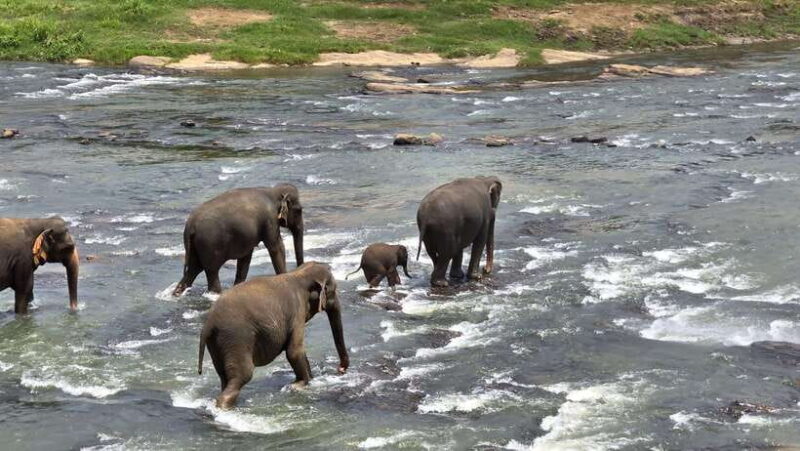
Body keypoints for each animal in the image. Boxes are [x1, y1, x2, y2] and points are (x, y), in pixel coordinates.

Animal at [173, 184, 304, 296]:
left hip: (195, 246)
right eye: (299, 210)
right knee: (211, 272)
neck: (273, 191)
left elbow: (245, 258)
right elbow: (276, 247)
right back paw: (216, 294)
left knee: (193, 270)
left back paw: (177, 293)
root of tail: (190, 225)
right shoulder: (270, 220)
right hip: (209, 244)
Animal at [197, 262, 349, 409]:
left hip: (216, 343)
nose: (340, 369)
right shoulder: (297, 311)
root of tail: (208, 324)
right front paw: (299, 384)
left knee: (224, 377)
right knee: (243, 375)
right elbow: (294, 351)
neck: (299, 273)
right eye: (333, 291)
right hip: (236, 338)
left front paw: (310, 379)